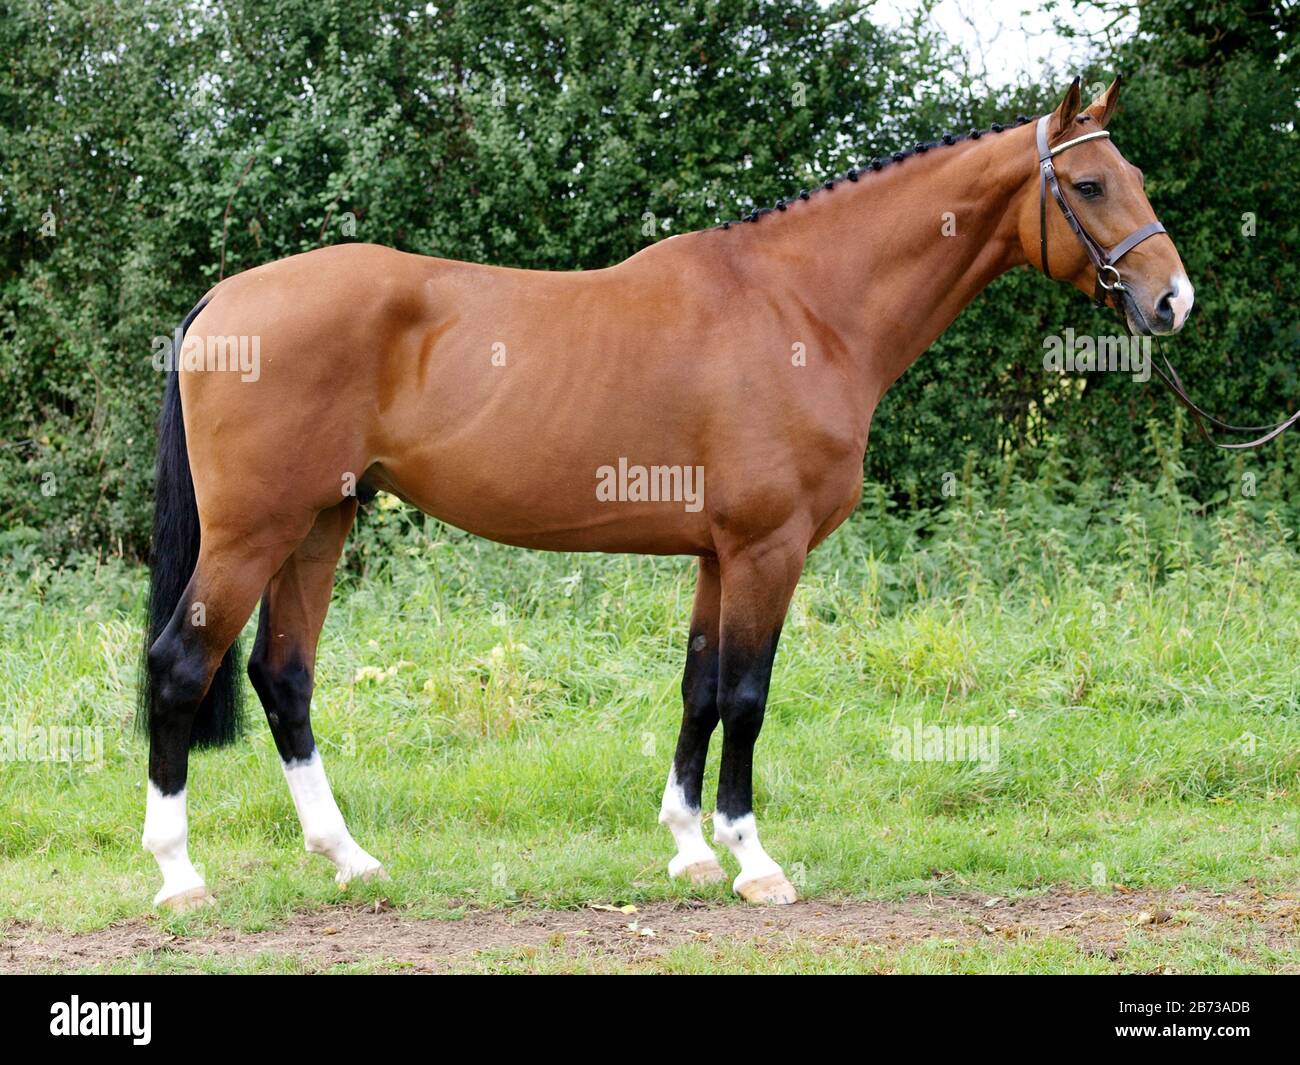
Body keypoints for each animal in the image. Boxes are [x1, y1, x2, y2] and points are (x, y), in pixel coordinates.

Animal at [139, 77, 1192, 910]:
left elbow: (699, 688)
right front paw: (754, 860)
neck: (804, 307)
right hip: (253, 534)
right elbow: (748, 696)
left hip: (319, 524)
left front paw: (690, 847)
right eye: (1089, 184)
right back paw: (180, 874)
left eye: (1135, 178)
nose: (1173, 300)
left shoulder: (717, 555)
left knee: (284, 675)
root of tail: (225, 301)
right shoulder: (769, 548)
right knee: (181, 666)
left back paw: (348, 857)